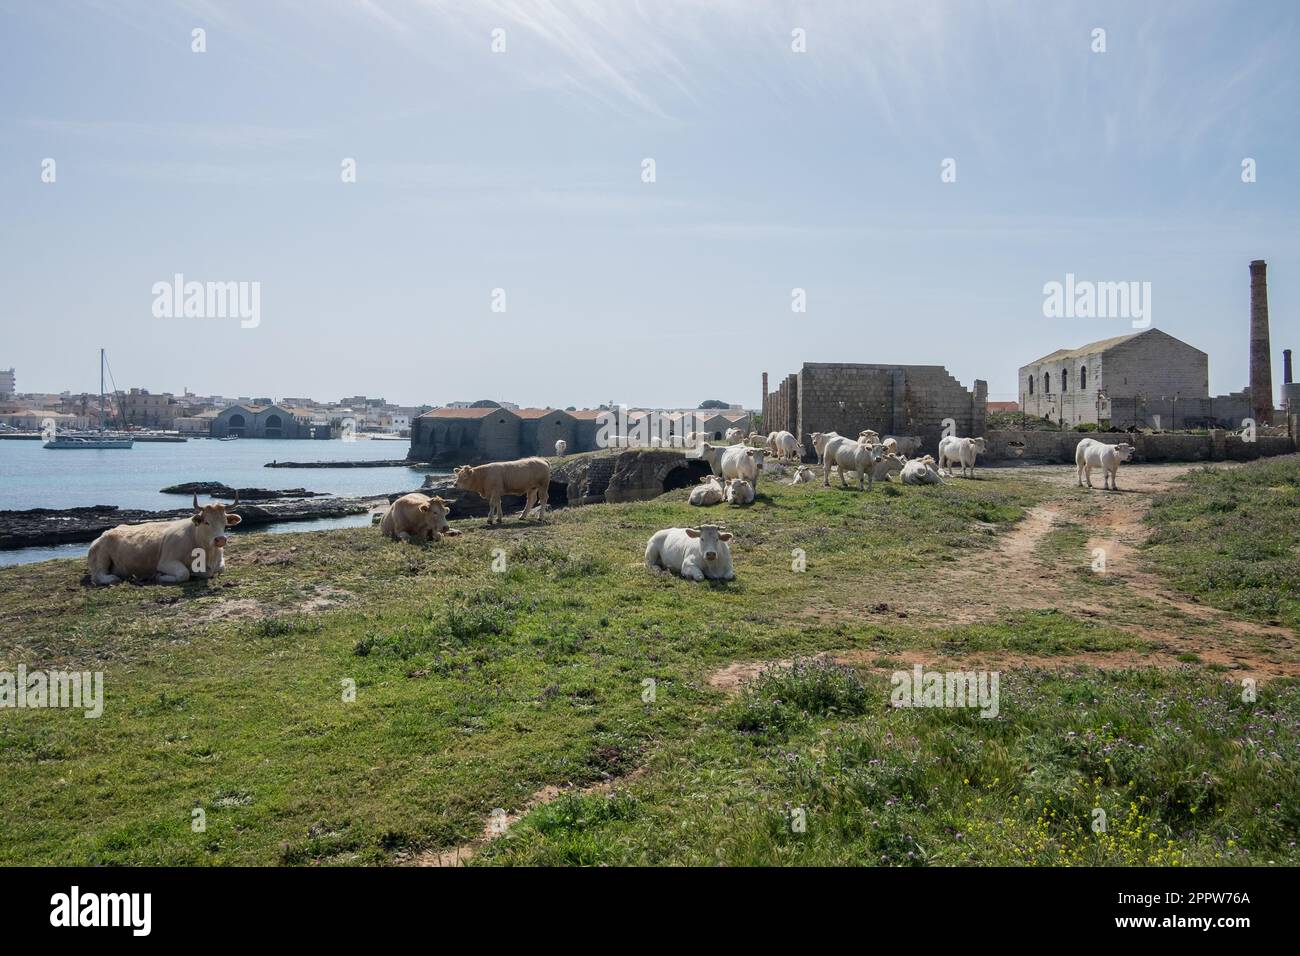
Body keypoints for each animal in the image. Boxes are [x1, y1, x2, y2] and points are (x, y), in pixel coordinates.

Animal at [88, 492, 243, 585]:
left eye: (225, 522)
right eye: (206, 522)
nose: (220, 539)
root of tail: (105, 533)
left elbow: (220, 569)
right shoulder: (165, 562)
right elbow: (184, 573)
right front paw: (158, 577)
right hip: (101, 556)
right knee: (97, 575)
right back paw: (115, 578)